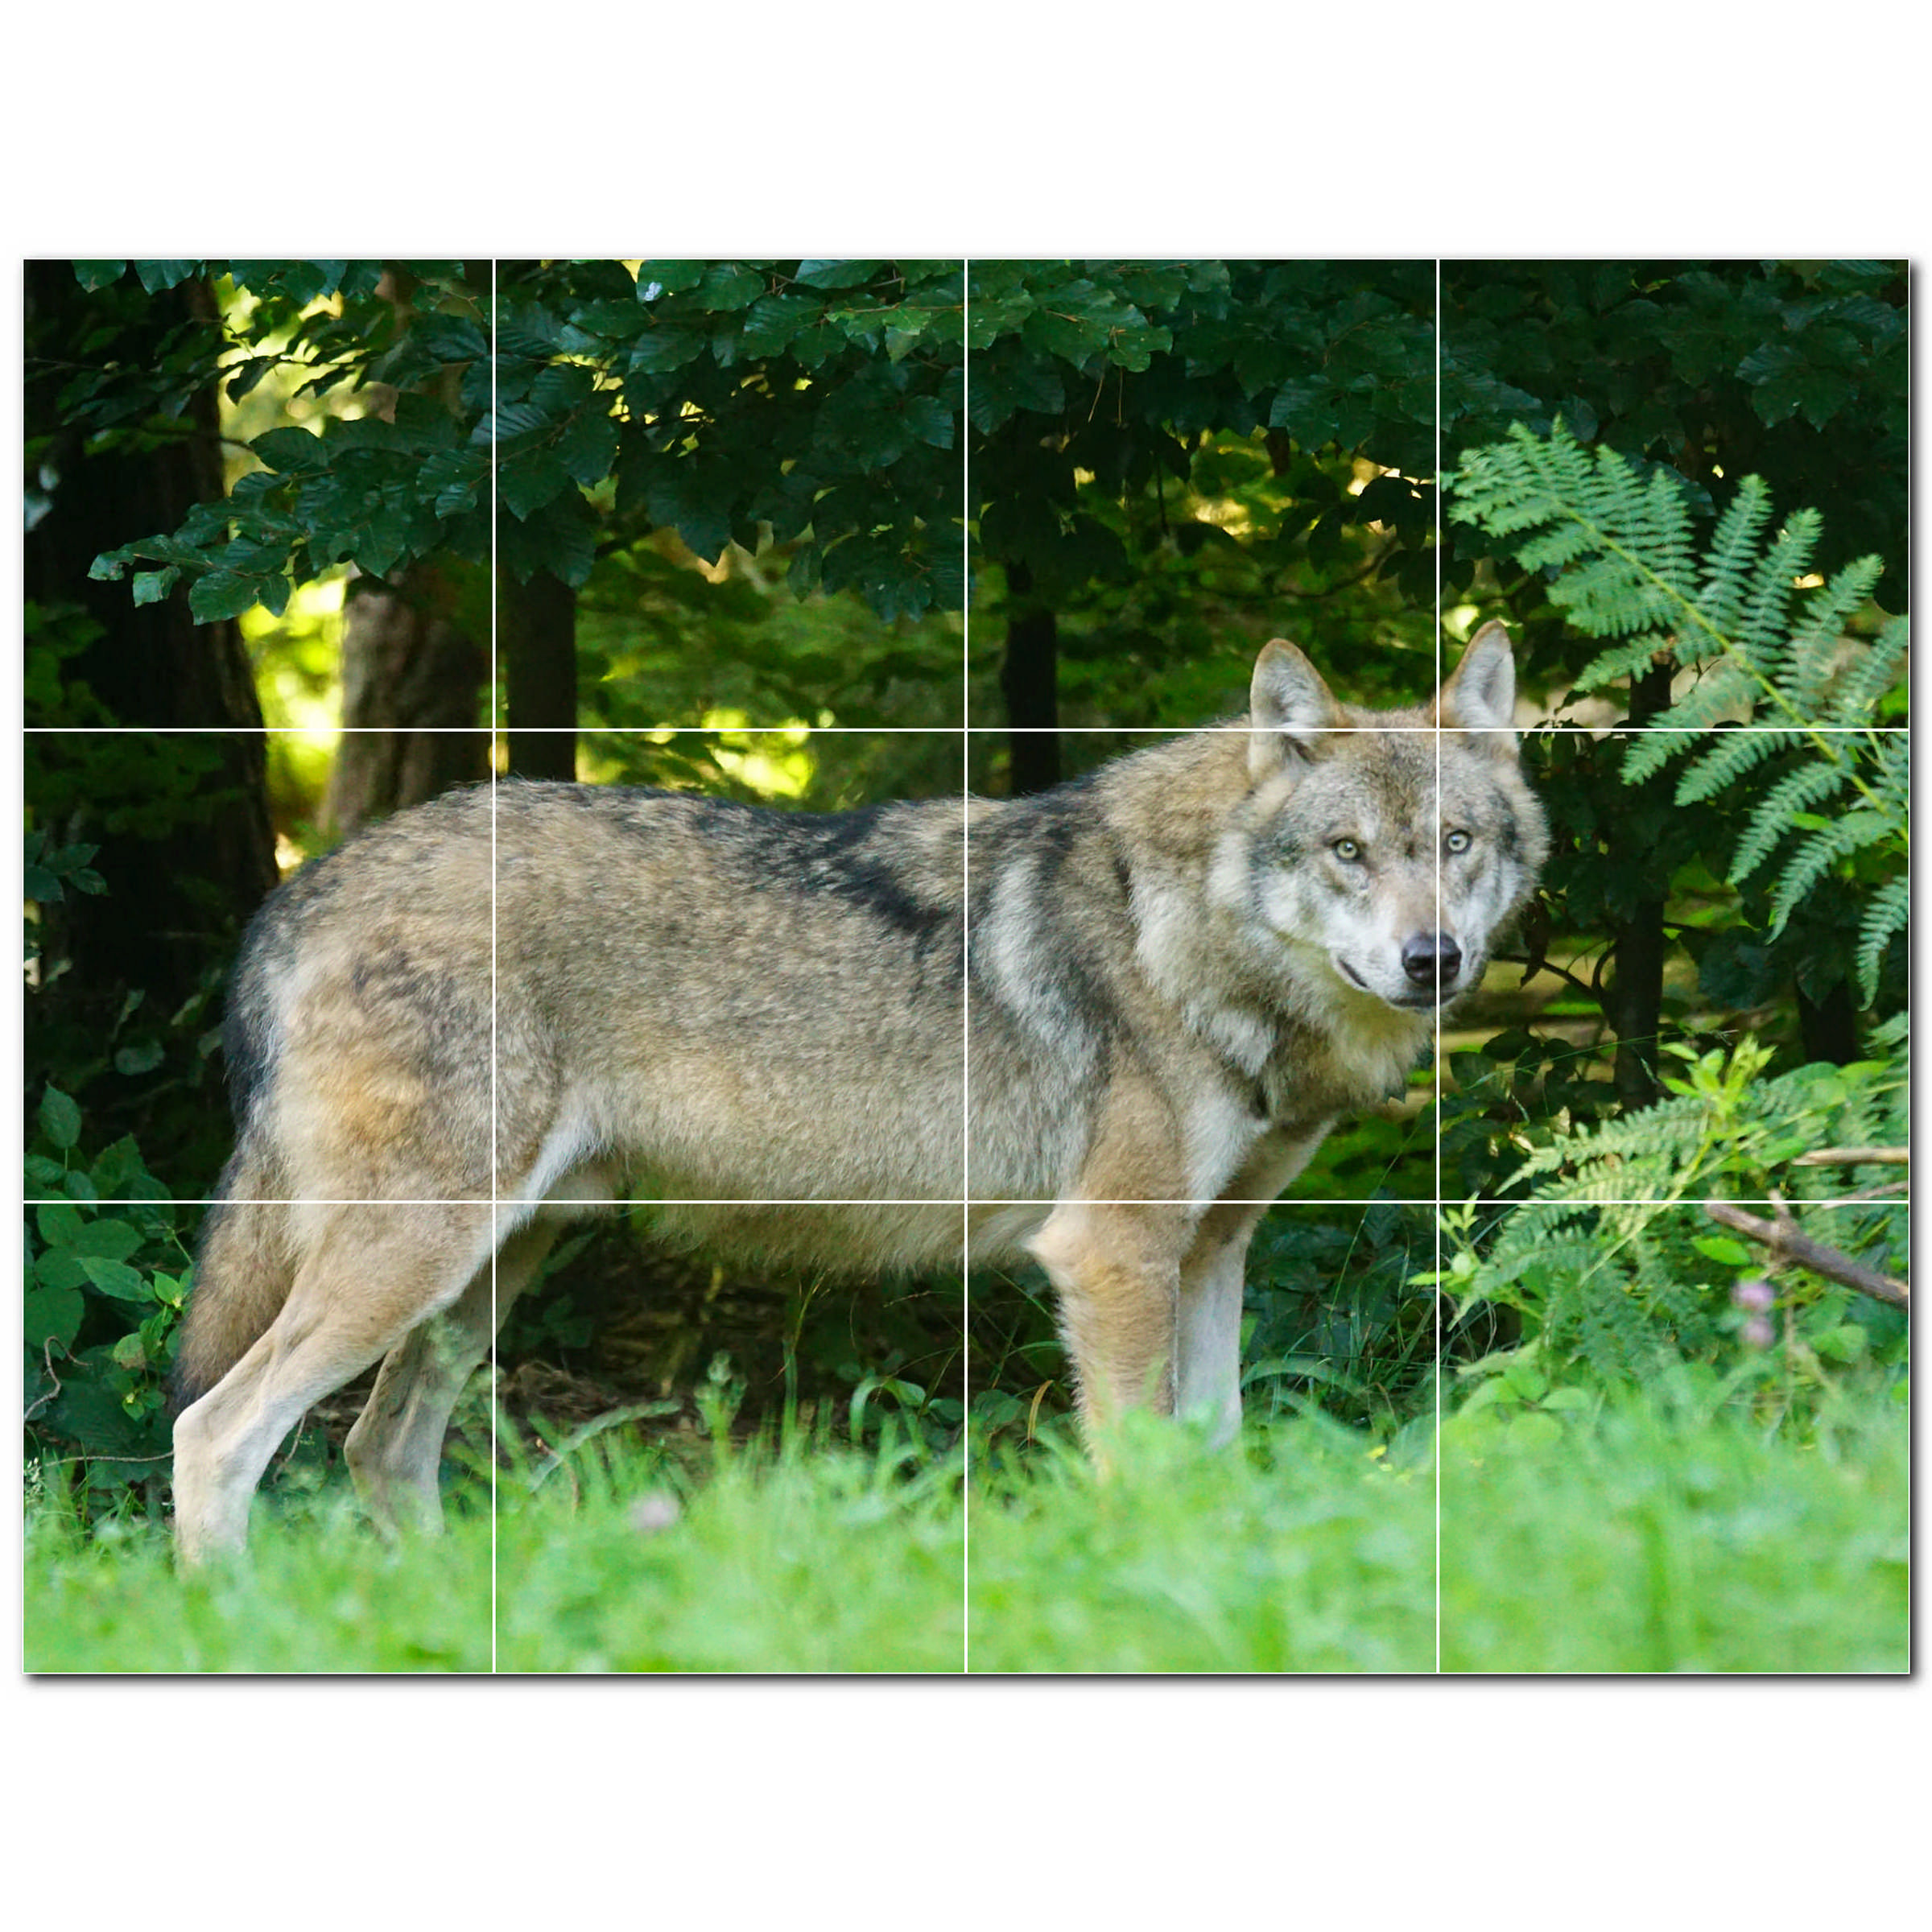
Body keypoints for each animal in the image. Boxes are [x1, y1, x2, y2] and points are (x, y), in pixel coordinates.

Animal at [169, 623, 1544, 1560]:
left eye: (1455, 845)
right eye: (1347, 853)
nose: (1433, 961)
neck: (1186, 933)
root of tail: (300, 890)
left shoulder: (1211, 1253)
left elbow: (1217, 1458)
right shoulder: (1111, 1256)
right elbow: (1141, 1471)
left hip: (485, 1278)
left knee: (378, 1449)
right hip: (419, 1259)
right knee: (216, 1433)